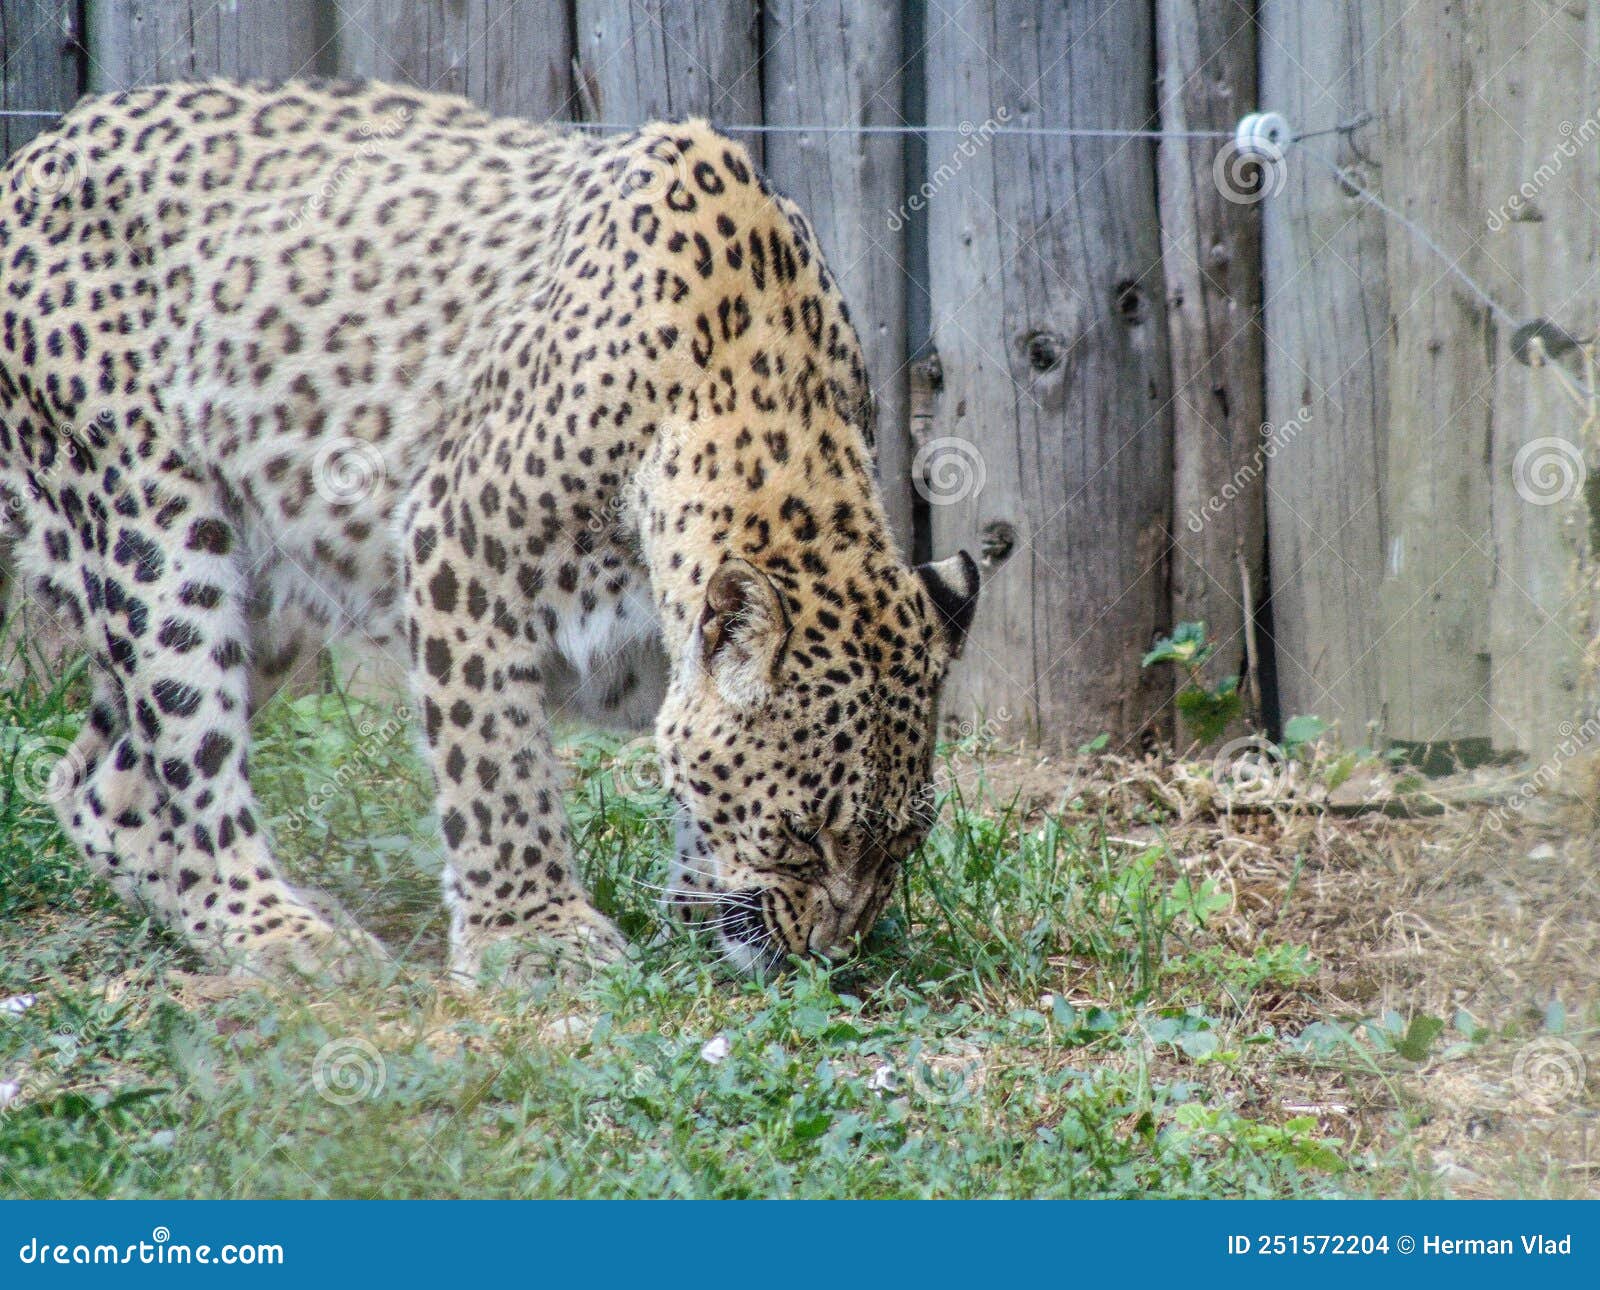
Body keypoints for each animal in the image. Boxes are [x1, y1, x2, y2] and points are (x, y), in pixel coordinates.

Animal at [0, 78, 985, 985]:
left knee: (103, 781)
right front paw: (533, 934)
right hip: (151, 525)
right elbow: (495, 759)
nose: (830, 955)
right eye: (801, 835)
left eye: (901, 848)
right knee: (185, 751)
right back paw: (279, 932)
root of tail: (35, 150)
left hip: (270, 584)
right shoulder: (460, 544)